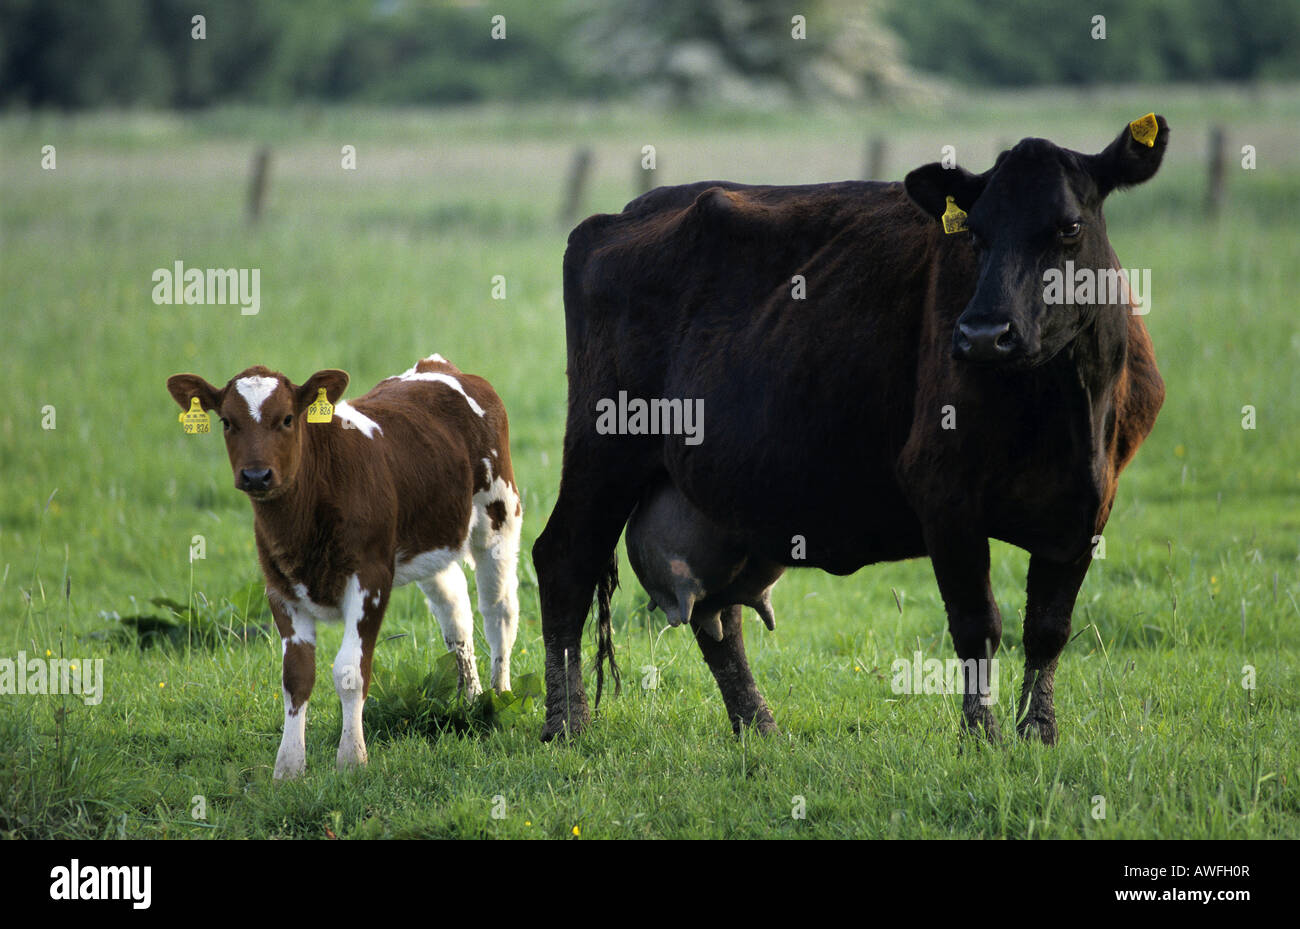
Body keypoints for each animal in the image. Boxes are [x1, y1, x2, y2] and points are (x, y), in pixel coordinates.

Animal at [166, 354, 522, 778]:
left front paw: (352, 758)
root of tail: (438, 366)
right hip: (432, 541)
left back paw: (498, 697)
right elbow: (296, 677)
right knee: (455, 614)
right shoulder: (280, 588)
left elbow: (350, 672)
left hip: (499, 516)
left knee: (499, 612)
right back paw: (470, 696)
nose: (256, 475)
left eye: (287, 418)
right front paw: (288, 768)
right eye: (226, 421)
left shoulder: (371, 578)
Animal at [533, 116, 1169, 745]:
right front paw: (981, 736)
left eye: (1069, 227)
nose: (983, 334)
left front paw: (1038, 732)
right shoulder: (944, 491)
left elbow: (1048, 627)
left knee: (717, 614)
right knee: (564, 560)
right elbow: (977, 624)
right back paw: (566, 724)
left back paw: (759, 725)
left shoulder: (1090, 505)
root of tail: (624, 213)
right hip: (604, 445)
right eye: (975, 235)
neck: (1067, 409)